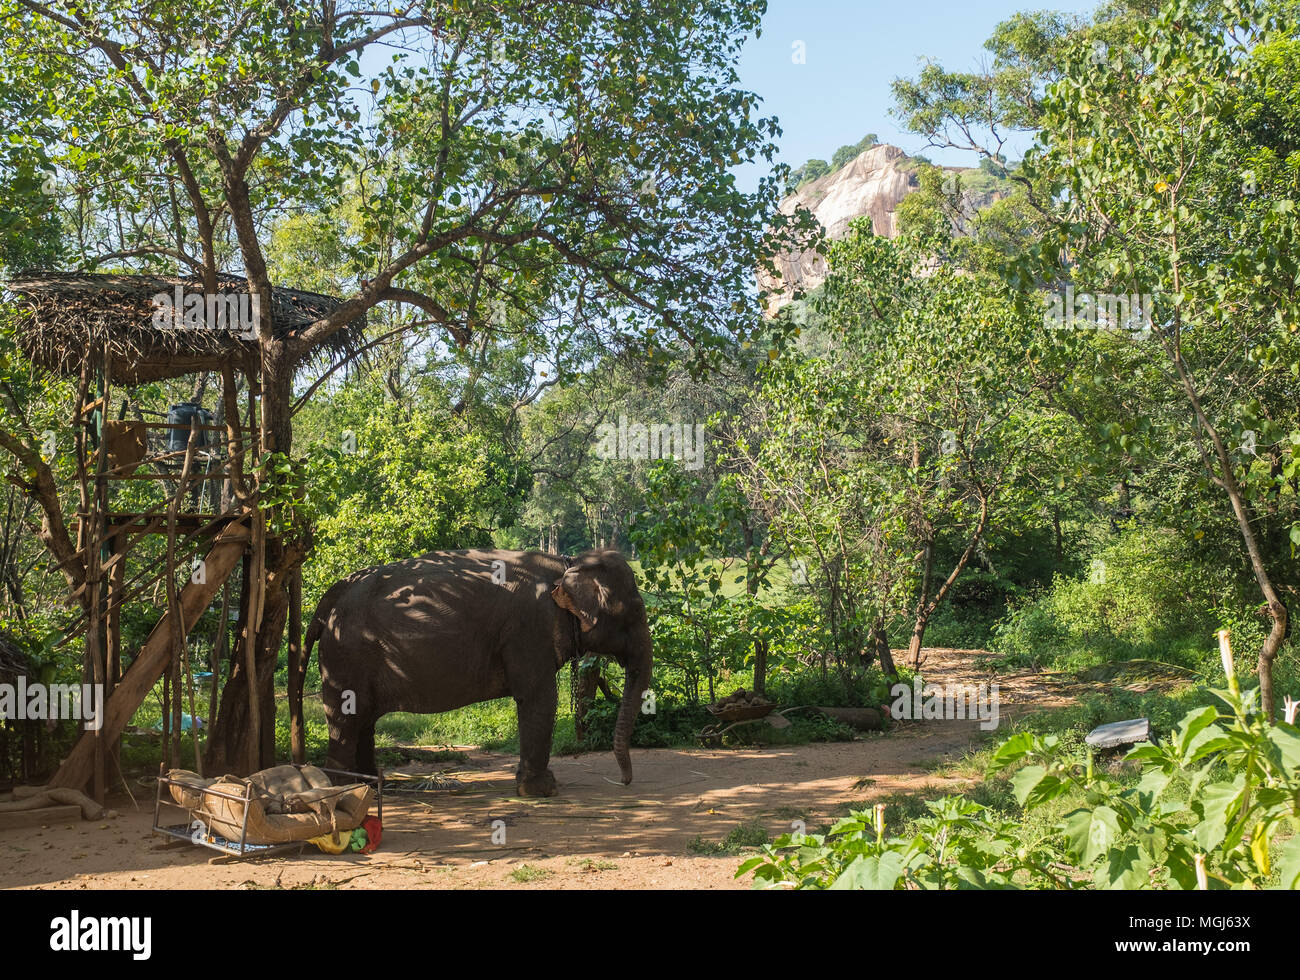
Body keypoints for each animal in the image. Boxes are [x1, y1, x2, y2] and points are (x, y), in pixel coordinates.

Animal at [303, 548, 653, 797]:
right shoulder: (529, 630)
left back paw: (373, 787)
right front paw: (542, 791)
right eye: (637, 609)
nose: (623, 781)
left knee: (363, 721)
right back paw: (345, 790)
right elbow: (539, 698)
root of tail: (332, 593)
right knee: (346, 720)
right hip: (345, 655)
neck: (568, 563)